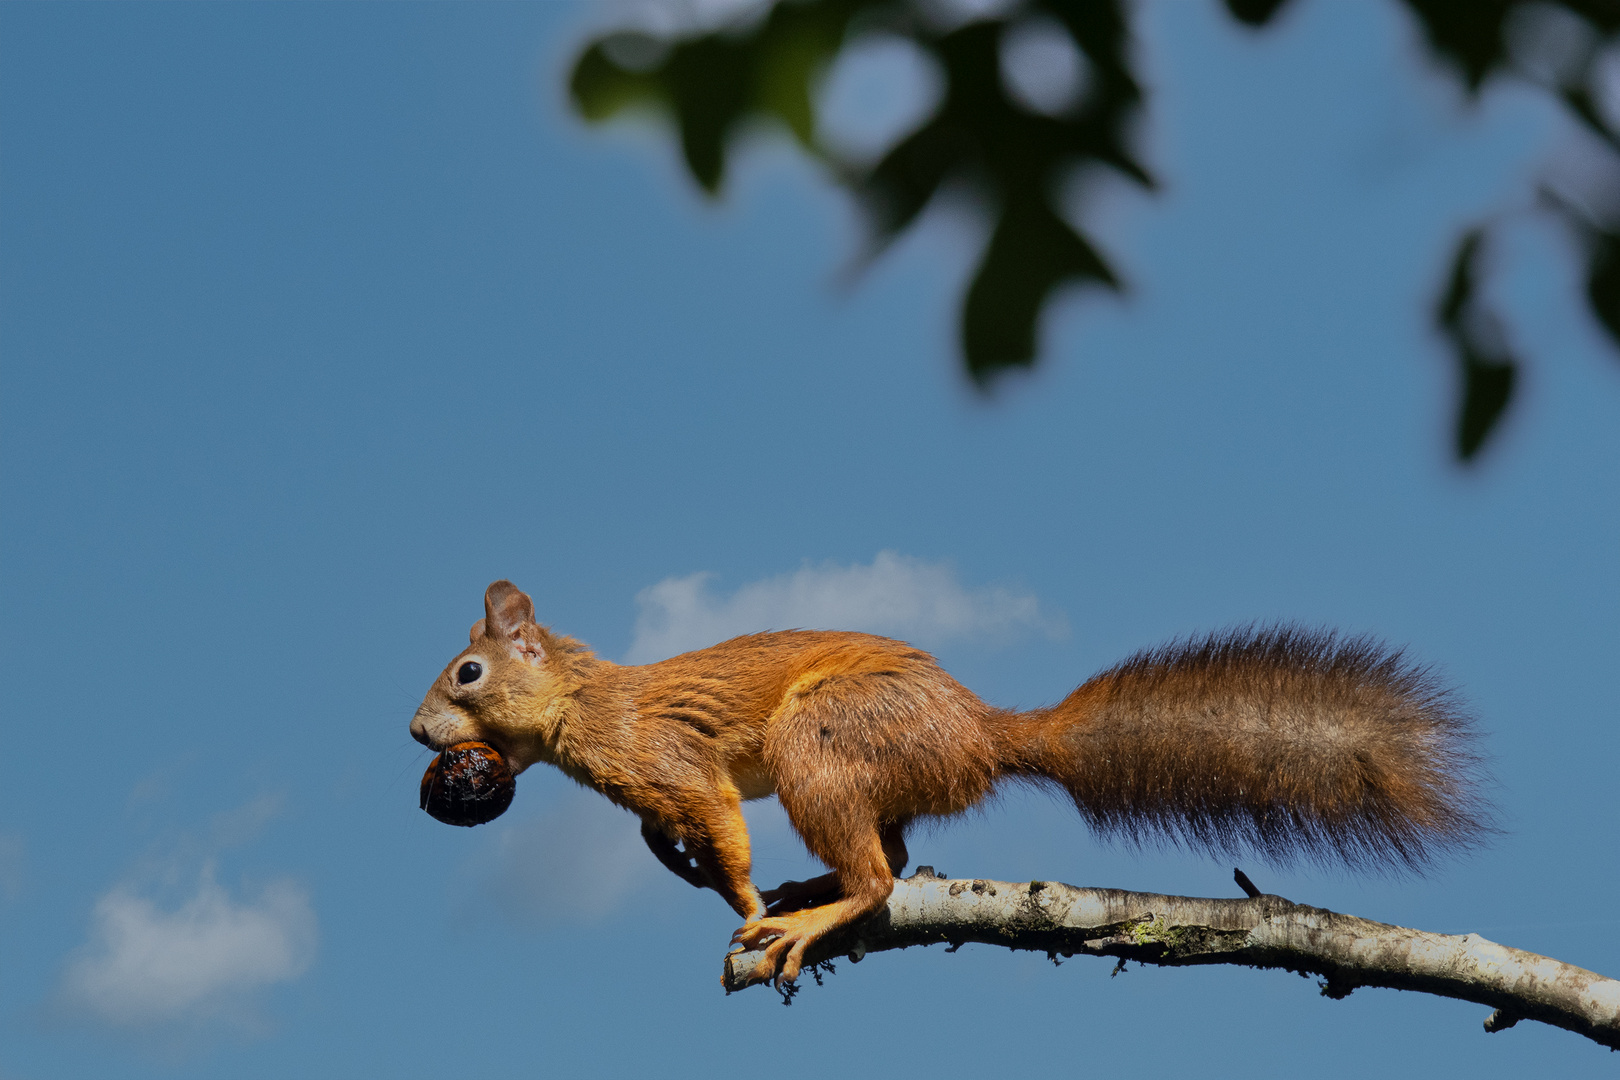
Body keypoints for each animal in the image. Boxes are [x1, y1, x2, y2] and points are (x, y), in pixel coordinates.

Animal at [411, 582, 1483, 990]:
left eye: (466, 674)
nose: (417, 733)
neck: (583, 706)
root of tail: (979, 736)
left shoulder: (670, 759)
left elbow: (718, 822)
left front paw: (745, 904)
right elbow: (661, 834)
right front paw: (684, 867)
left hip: (821, 745)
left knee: (883, 877)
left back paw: (806, 914)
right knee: (893, 851)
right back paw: (814, 890)